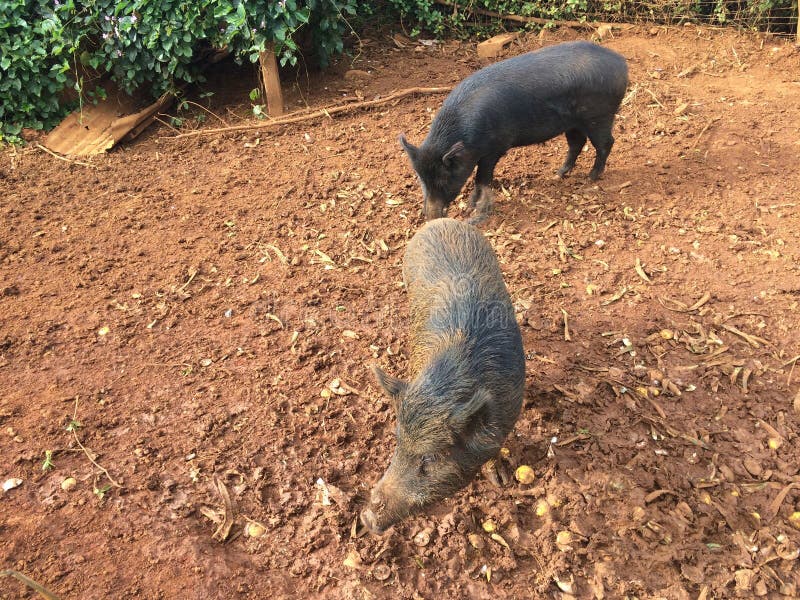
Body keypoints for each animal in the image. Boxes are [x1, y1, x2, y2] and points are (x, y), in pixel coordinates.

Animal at [400, 40, 629, 222]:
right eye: (421, 179)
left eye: (443, 179)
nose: (431, 216)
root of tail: (621, 63)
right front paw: (471, 205)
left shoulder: (494, 149)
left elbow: (482, 178)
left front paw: (476, 210)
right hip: (573, 123)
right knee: (577, 143)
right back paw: (558, 174)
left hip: (600, 115)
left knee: (606, 143)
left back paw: (591, 177)